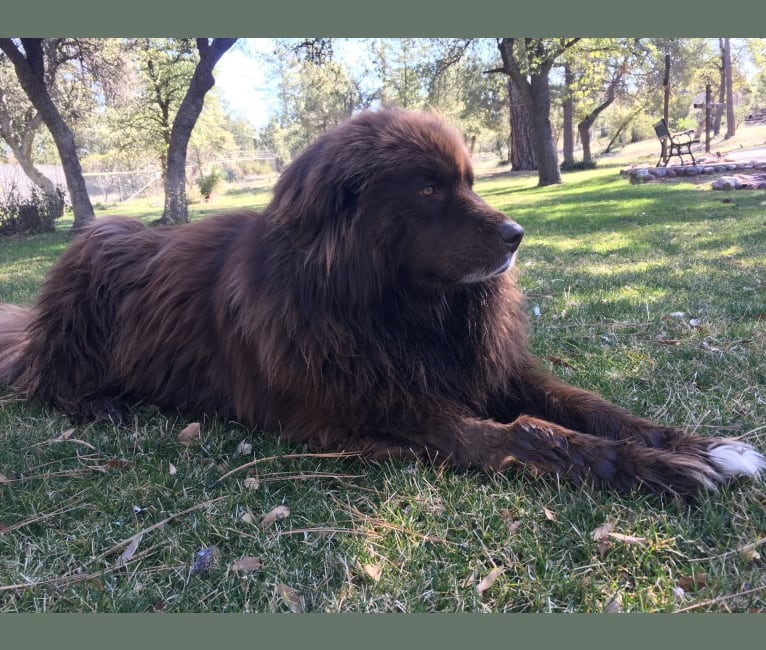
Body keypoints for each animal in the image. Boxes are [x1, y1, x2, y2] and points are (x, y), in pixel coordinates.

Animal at [0, 109, 764, 494]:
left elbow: (589, 406)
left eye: (467, 181)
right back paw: (101, 405)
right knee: (43, 380)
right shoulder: (378, 409)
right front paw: (647, 469)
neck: (396, 308)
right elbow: (528, 432)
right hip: (99, 247)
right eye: (427, 188)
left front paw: (706, 447)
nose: (517, 235)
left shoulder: (484, 368)